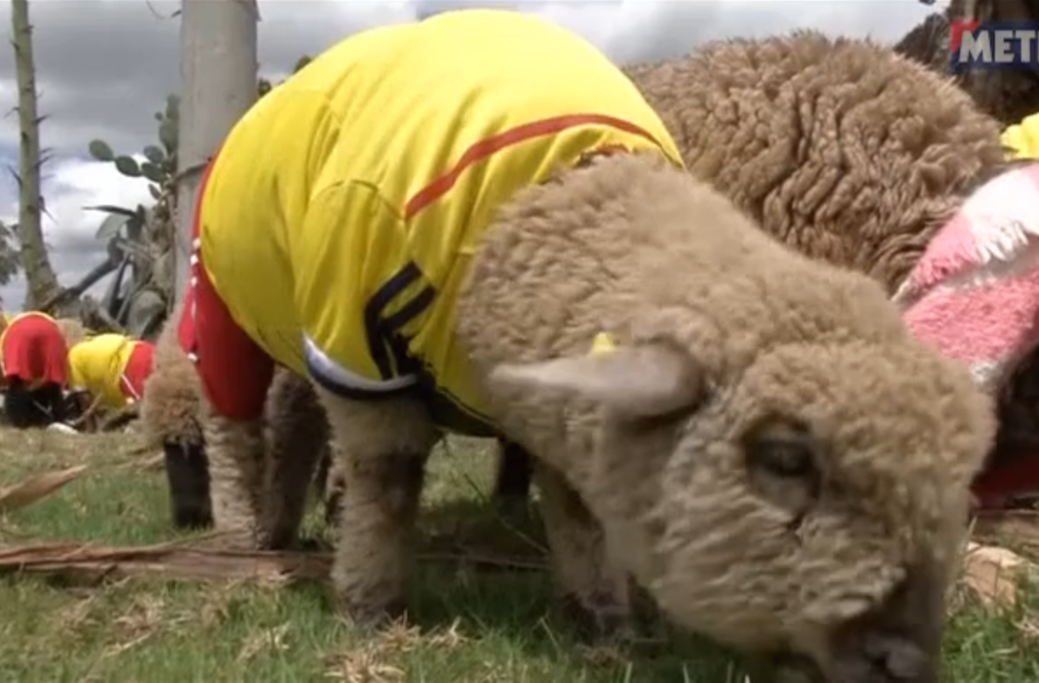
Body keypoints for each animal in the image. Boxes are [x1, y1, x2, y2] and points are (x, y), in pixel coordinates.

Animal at [180, 9, 995, 681]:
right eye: (785, 460)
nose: (909, 663)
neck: (533, 203)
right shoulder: (357, 350)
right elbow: (389, 481)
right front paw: (370, 604)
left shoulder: (555, 376)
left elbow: (576, 504)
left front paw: (601, 620)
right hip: (230, 290)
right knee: (234, 413)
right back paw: (244, 533)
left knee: (292, 408)